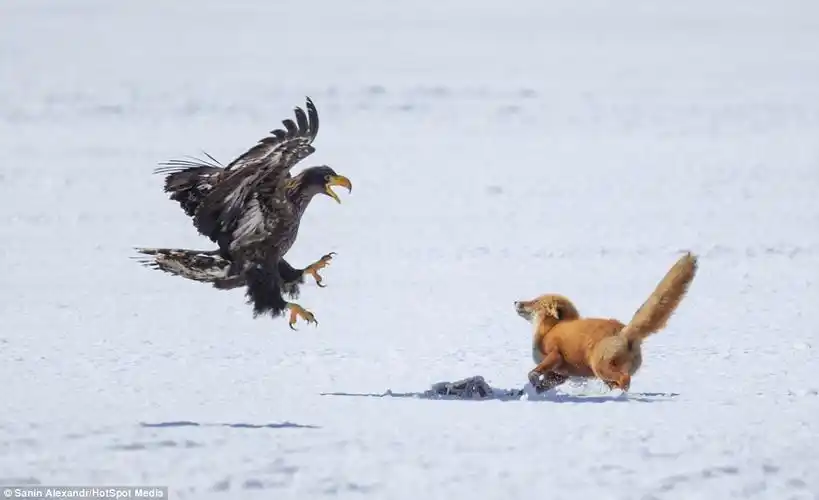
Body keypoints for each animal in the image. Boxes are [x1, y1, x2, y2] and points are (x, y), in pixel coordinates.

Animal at [513, 252, 698, 394]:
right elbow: (546, 382)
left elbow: (533, 373)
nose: (516, 302)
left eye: (535, 301)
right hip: (605, 372)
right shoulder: (561, 373)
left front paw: (534, 382)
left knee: (624, 379)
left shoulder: (555, 355)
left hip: (600, 367)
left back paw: (619, 396)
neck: (548, 330)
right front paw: (536, 390)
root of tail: (625, 331)